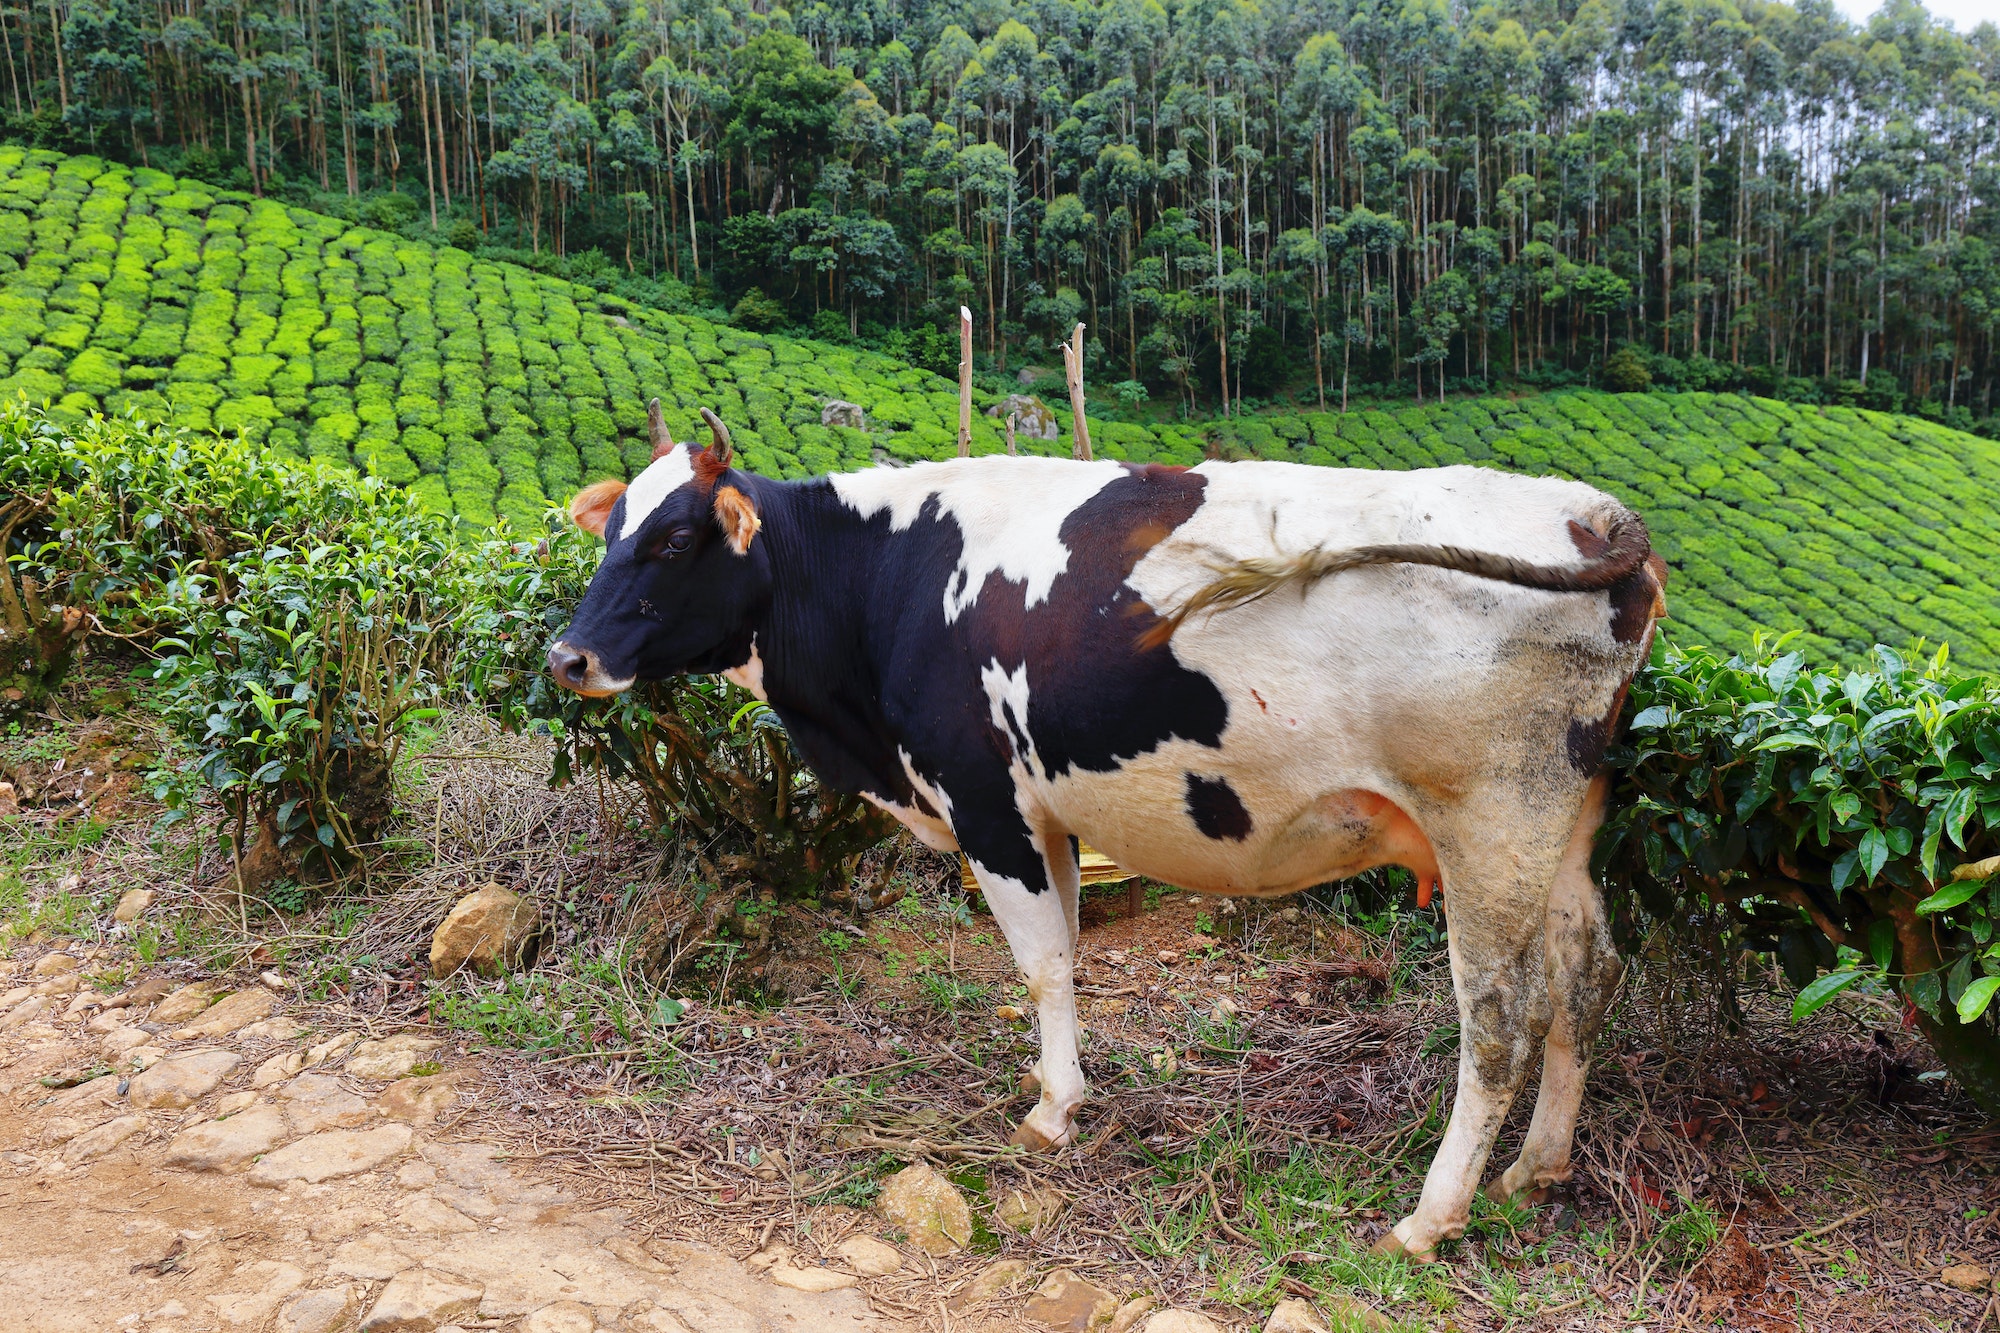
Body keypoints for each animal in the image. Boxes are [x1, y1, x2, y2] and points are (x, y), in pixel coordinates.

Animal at [547, 401, 1665, 1260]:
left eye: (674, 540)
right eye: (609, 534)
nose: (566, 656)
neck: (885, 577)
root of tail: (1589, 511)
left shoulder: (985, 803)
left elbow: (1042, 963)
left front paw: (1053, 1110)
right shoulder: (1049, 811)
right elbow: (1069, 955)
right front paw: (1058, 1081)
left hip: (1489, 824)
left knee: (1500, 1020)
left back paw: (1431, 1218)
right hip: (1564, 824)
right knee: (1588, 975)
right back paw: (1535, 1169)